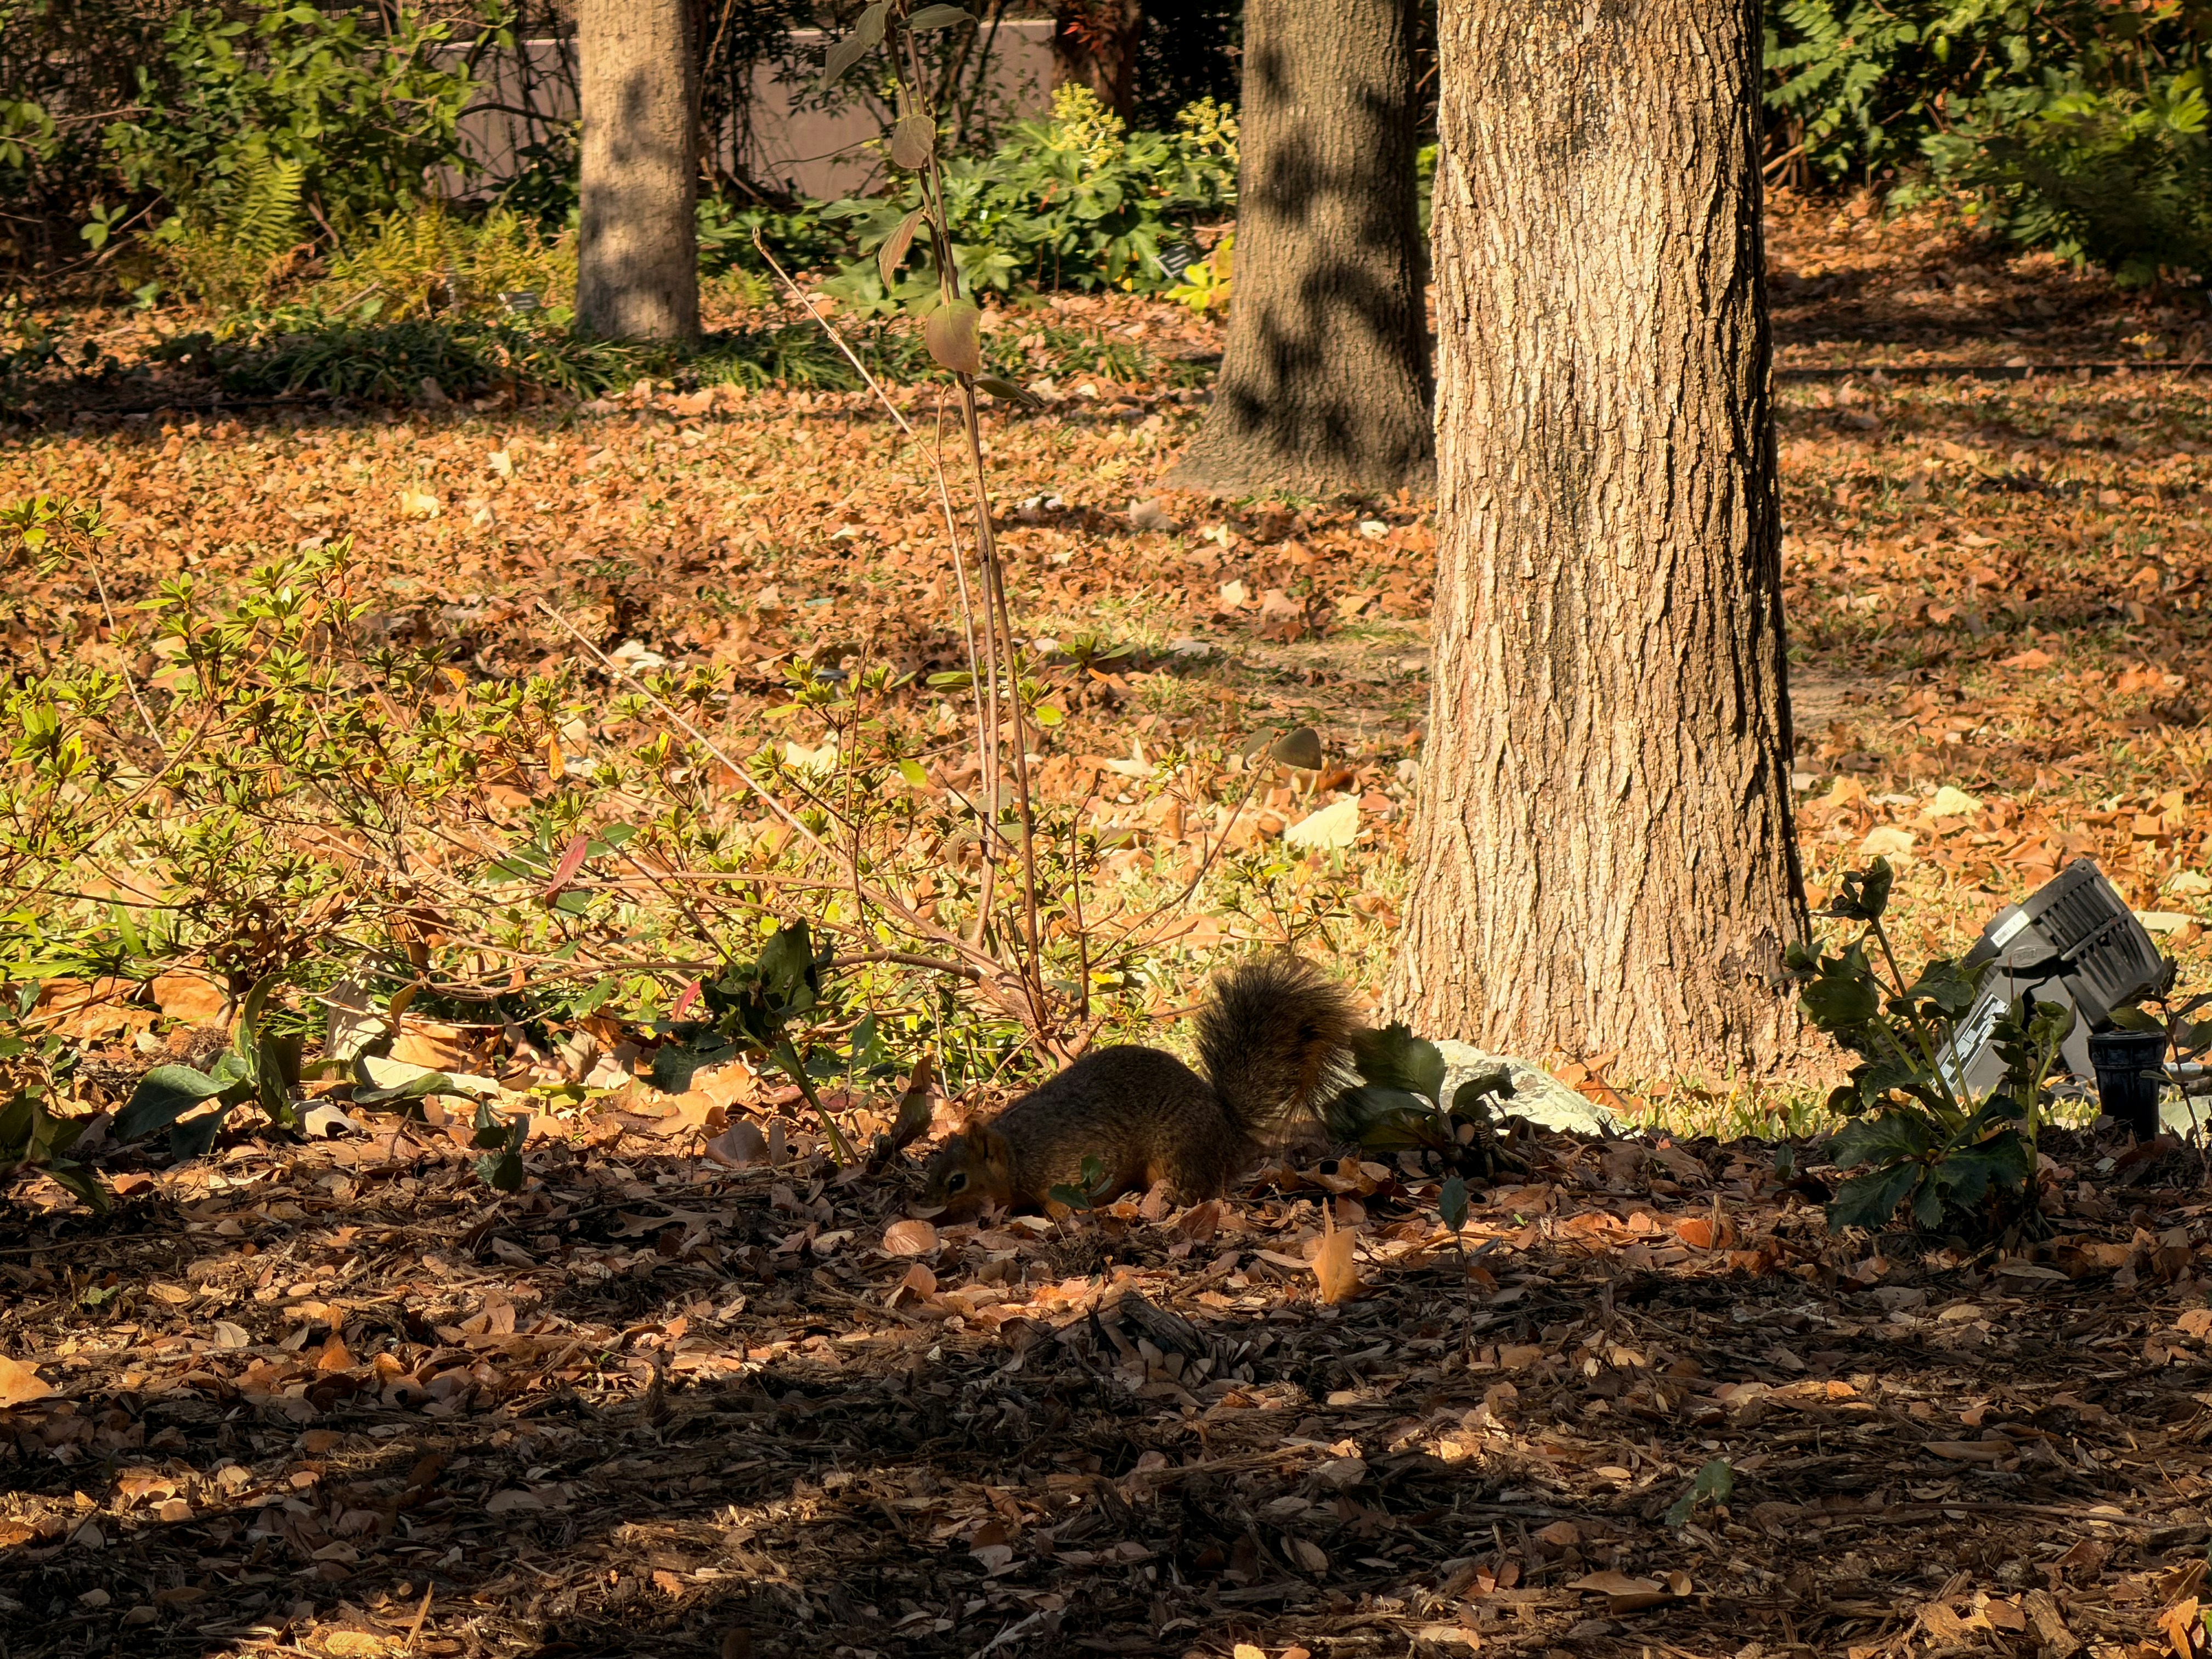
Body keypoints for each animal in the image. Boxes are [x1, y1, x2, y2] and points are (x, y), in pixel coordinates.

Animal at [920, 954, 1357, 1215]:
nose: (925, 1202)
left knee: (1193, 1191)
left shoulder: (1074, 1170)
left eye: (957, 1181)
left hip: (1176, 1153)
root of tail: (1228, 1131)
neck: (1017, 1154)